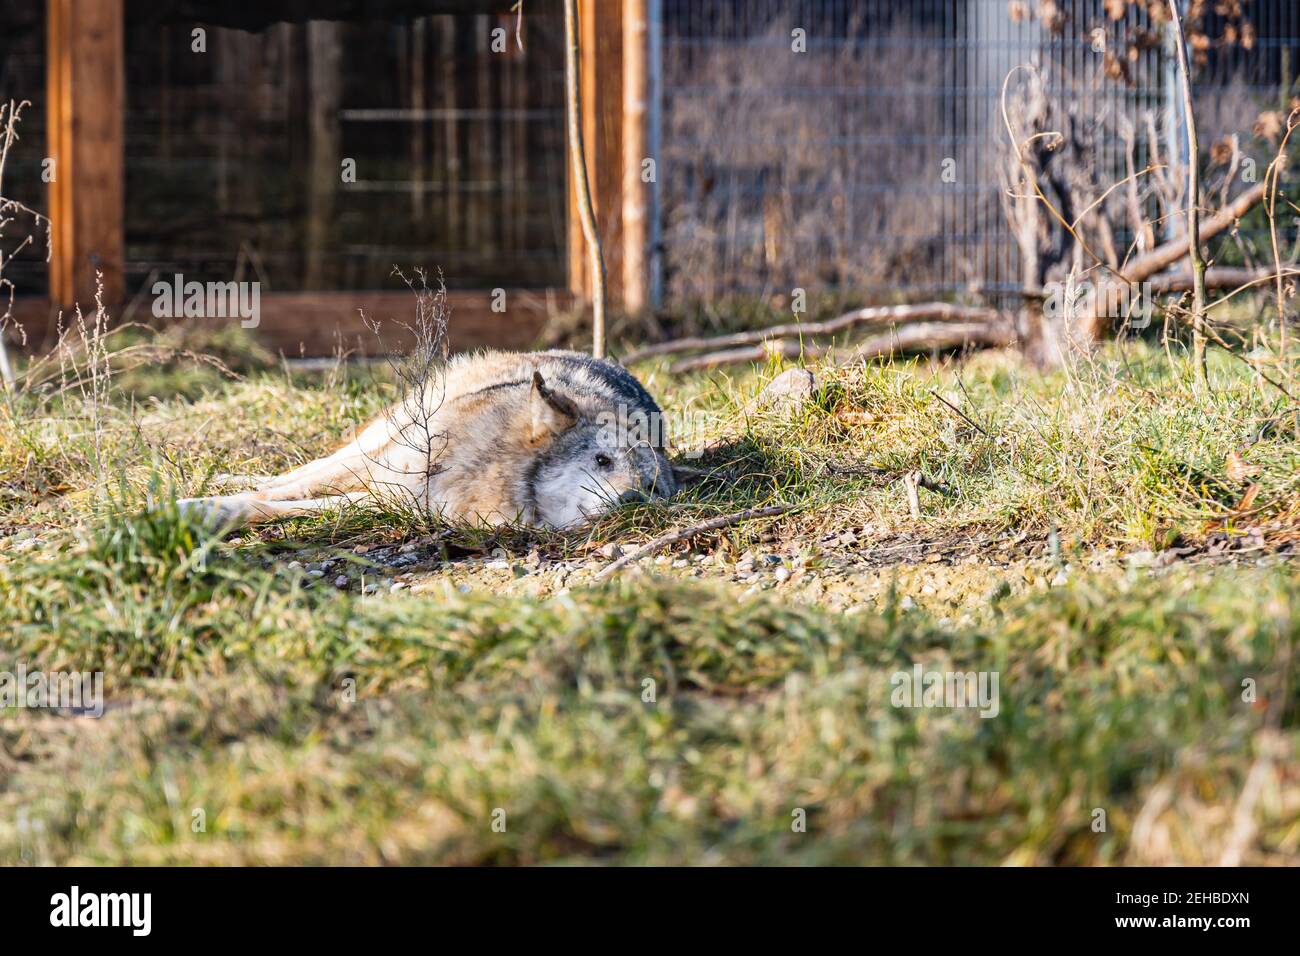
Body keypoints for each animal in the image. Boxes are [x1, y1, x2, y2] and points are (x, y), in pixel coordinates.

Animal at [178, 350, 678, 530]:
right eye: (601, 460)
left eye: (651, 488)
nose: (633, 501)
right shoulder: (390, 474)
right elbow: (267, 497)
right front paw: (194, 506)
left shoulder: (398, 500)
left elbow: (272, 506)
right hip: (382, 440)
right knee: (305, 470)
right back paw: (226, 477)